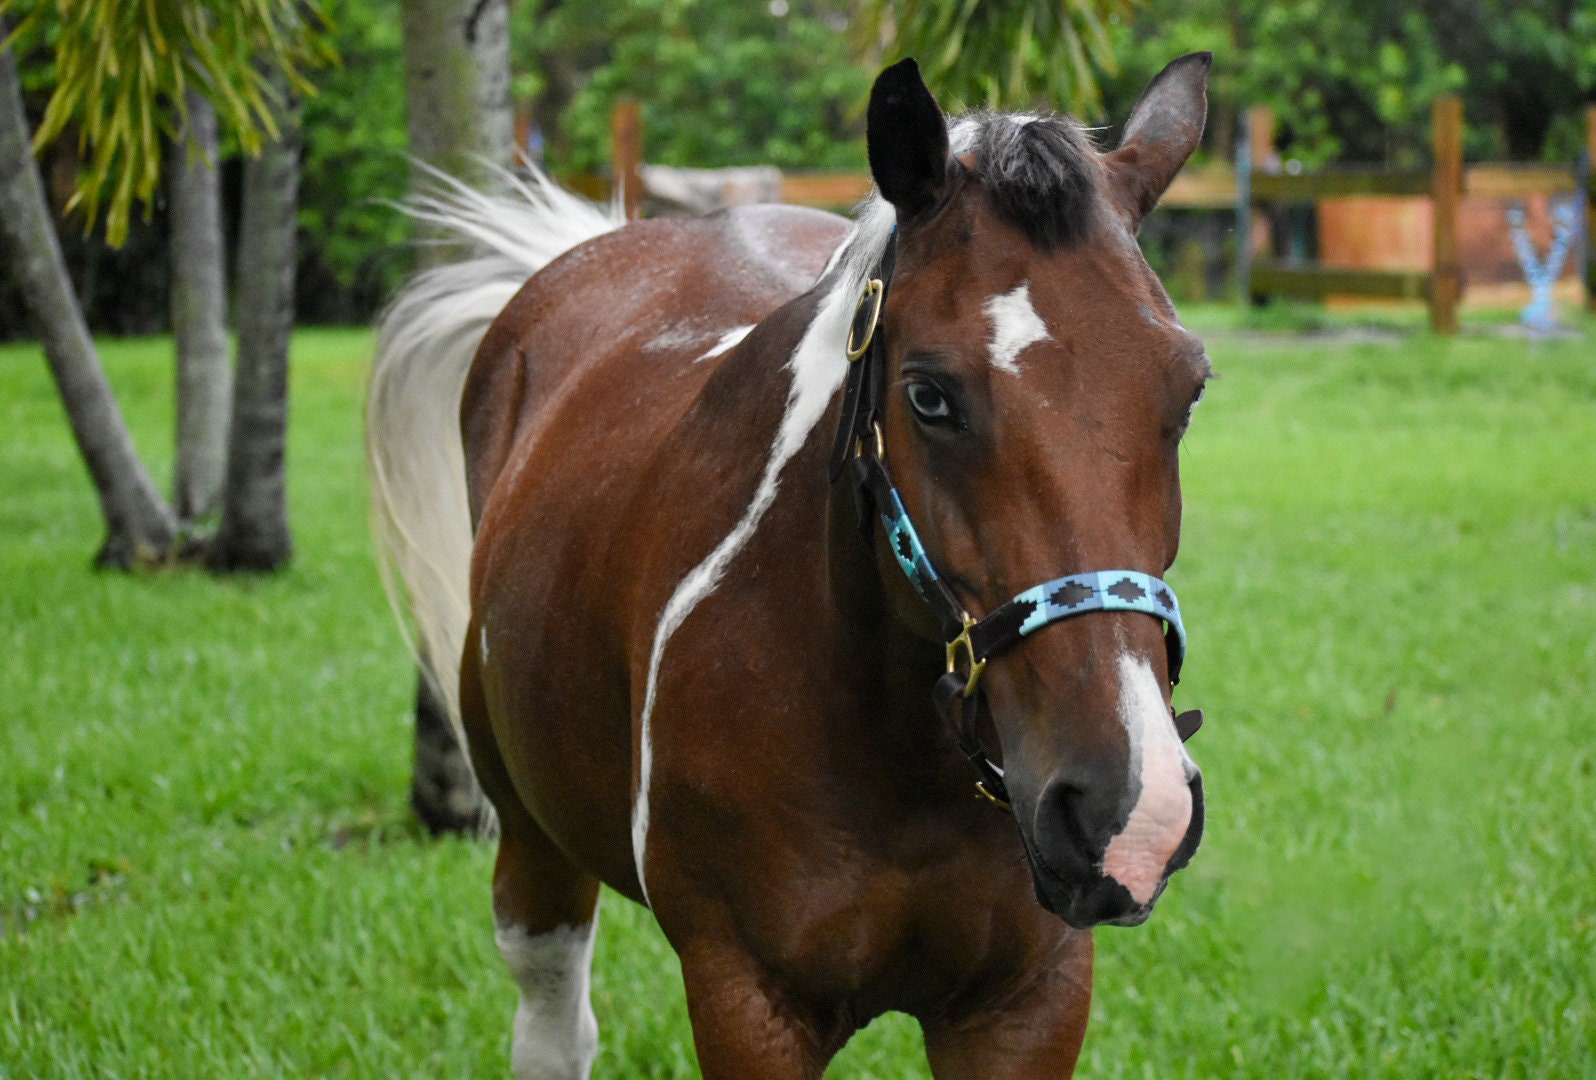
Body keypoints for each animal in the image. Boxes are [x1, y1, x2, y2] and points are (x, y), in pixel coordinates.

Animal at [368, 53, 1213, 1079]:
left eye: (1189, 389)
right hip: (534, 847)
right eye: (929, 395)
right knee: (552, 1024)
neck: (895, 759)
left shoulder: (1027, 1004)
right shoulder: (747, 999)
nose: (1130, 805)